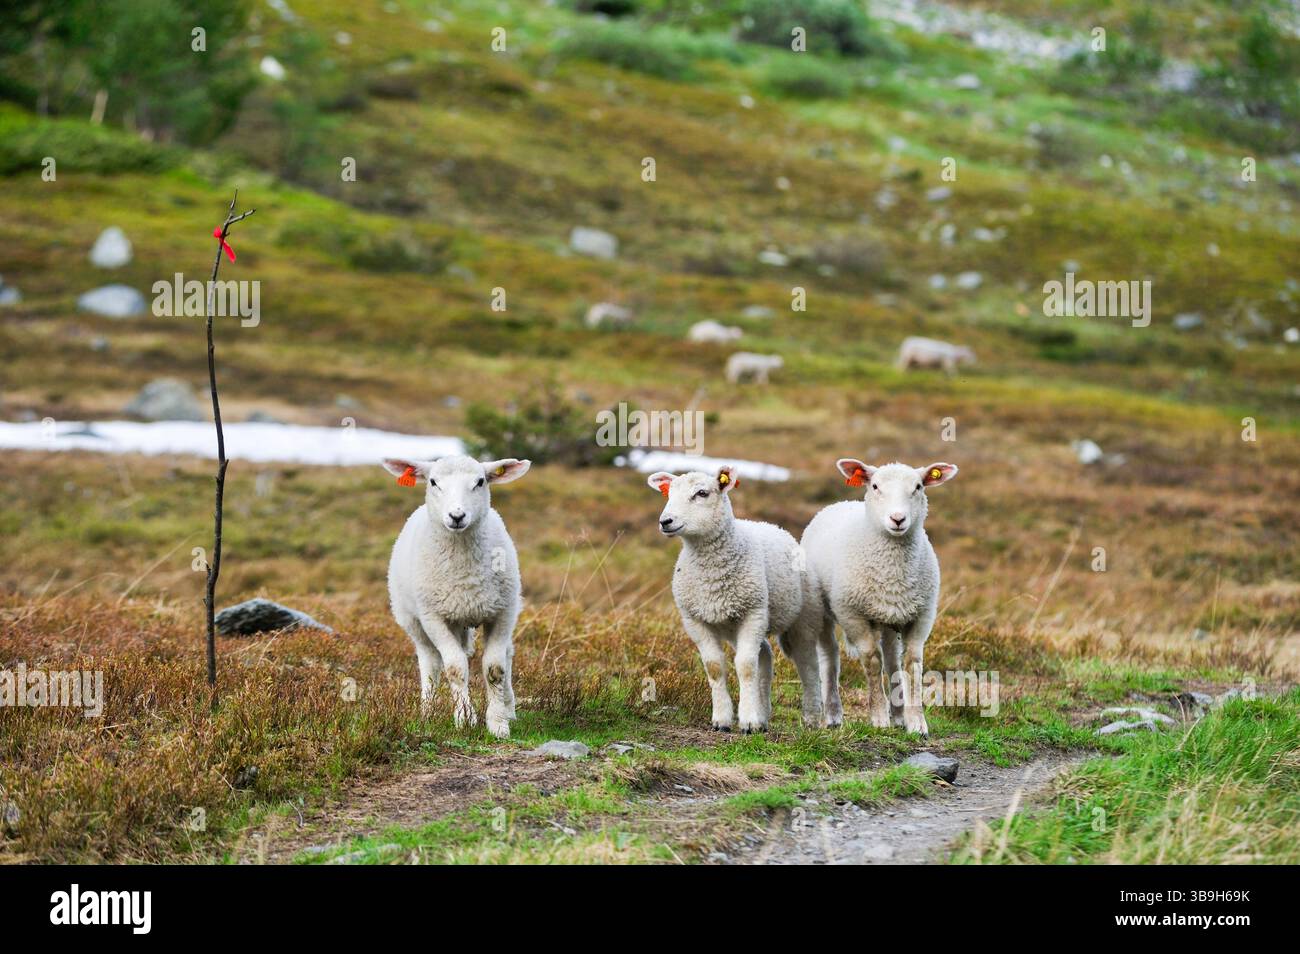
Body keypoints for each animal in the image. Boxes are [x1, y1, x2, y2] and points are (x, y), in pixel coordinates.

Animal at [381, 454, 531, 738]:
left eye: (480, 481)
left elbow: (494, 668)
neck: (464, 573)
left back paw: (509, 706)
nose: (457, 516)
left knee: (507, 653)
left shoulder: (503, 612)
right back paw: (428, 711)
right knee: (430, 662)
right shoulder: (433, 617)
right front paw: (464, 718)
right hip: (414, 620)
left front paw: (498, 723)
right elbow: (455, 668)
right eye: (433, 482)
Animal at [647, 466, 825, 732]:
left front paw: (748, 720)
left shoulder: (753, 612)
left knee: (807, 664)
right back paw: (764, 714)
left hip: (801, 616)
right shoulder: (694, 620)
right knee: (765, 655)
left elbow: (745, 667)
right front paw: (722, 719)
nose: (665, 521)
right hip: (737, 623)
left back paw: (812, 717)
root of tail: (774, 526)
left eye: (702, 493)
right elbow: (715, 667)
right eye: (669, 494)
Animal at [801, 459, 959, 735]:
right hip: (821, 608)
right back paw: (833, 715)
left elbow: (912, 664)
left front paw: (916, 722)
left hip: (889, 615)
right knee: (830, 656)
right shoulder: (853, 615)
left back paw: (898, 715)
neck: (893, 569)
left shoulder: (922, 615)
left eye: (918, 487)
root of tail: (840, 503)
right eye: (875, 486)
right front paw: (878, 718)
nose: (898, 519)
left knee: (892, 659)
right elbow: (873, 662)